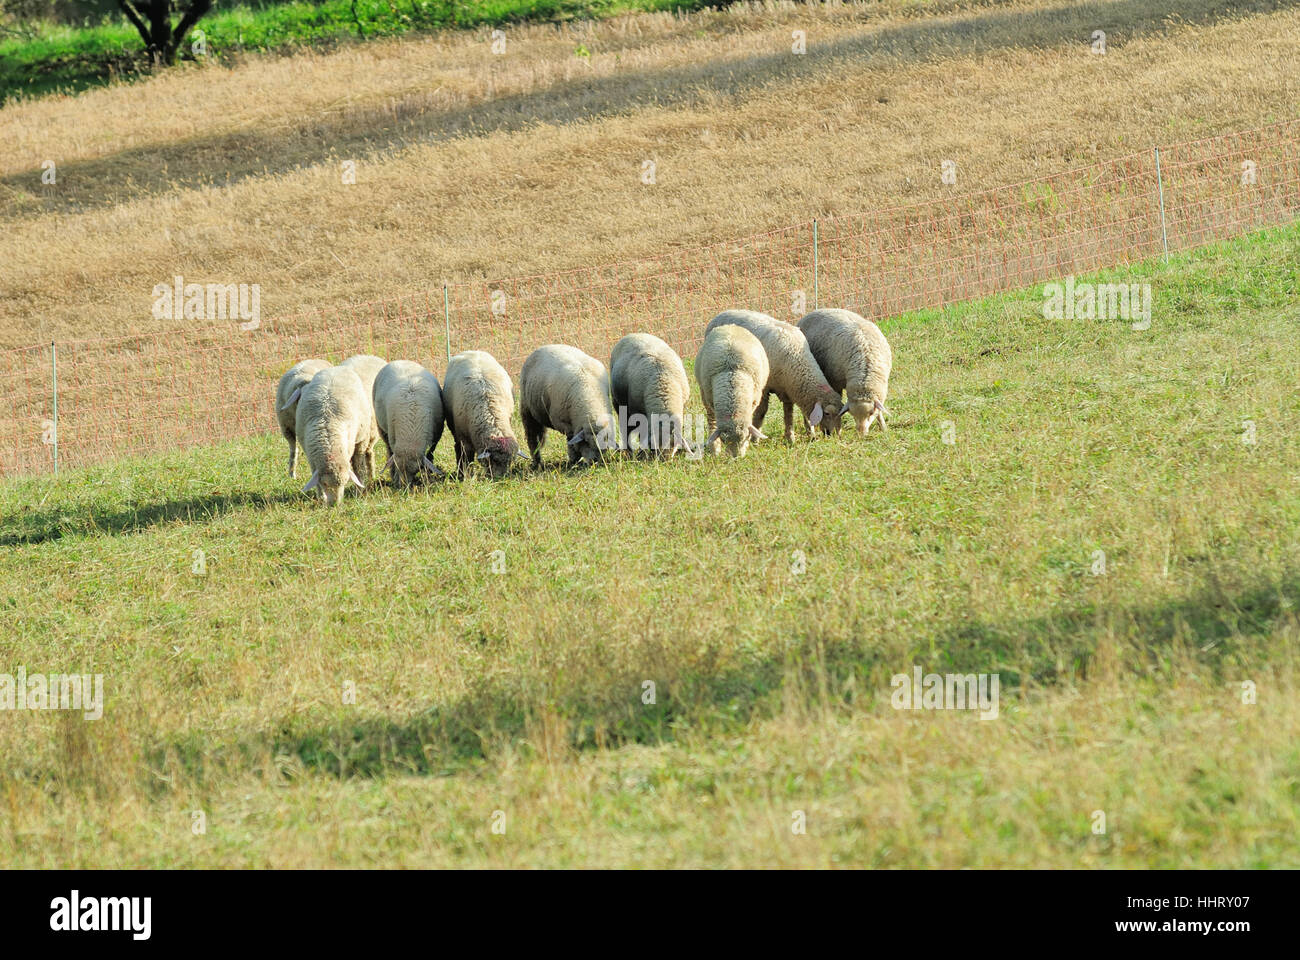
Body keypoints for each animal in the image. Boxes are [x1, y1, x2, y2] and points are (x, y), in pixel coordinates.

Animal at [295, 365, 374, 507]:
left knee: (359, 465)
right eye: (325, 483)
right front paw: (321, 498)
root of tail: (338, 368)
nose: (335, 505)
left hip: (362, 438)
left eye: (345, 482)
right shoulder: (311, 458)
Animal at [694, 324, 770, 458]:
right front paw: (716, 449)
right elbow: (712, 421)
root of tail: (729, 325)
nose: (736, 458)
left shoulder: (754, 401)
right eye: (724, 440)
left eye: (746, 437)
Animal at [704, 309, 842, 441]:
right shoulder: (764, 389)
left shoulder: (789, 391)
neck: (796, 357)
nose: (834, 435)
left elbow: (789, 414)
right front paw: (754, 439)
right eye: (827, 413)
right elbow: (761, 413)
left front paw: (794, 437)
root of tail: (721, 313)